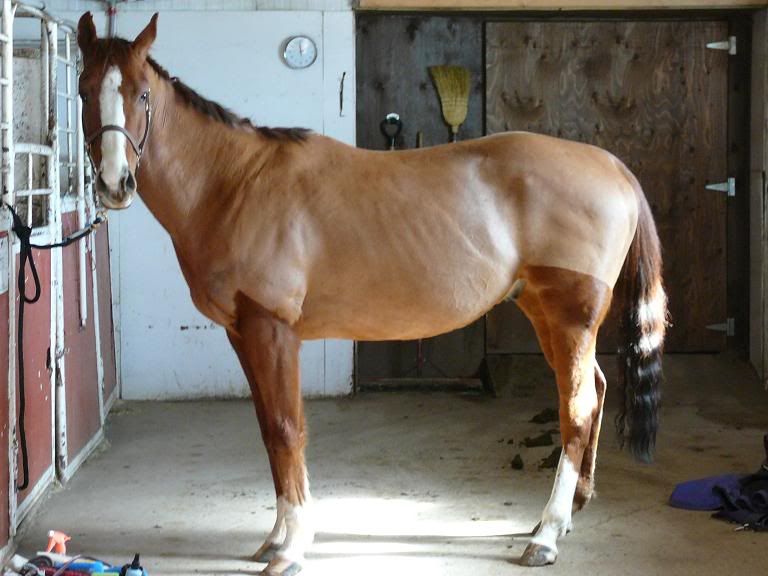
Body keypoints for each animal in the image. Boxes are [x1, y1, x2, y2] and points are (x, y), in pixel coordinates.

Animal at [76, 12, 666, 575]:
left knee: (578, 407)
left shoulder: (273, 331)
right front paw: (275, 538)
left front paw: (292, 549)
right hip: (543, 312)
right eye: (83, 90)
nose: (114, 184)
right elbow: (268, 430)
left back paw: (544, 537)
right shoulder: (243, 335)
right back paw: (566, 515)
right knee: (596, 389)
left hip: (569, 318)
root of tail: (612, 165)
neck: (236, 183)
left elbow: (288, 430)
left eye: (143, 94)